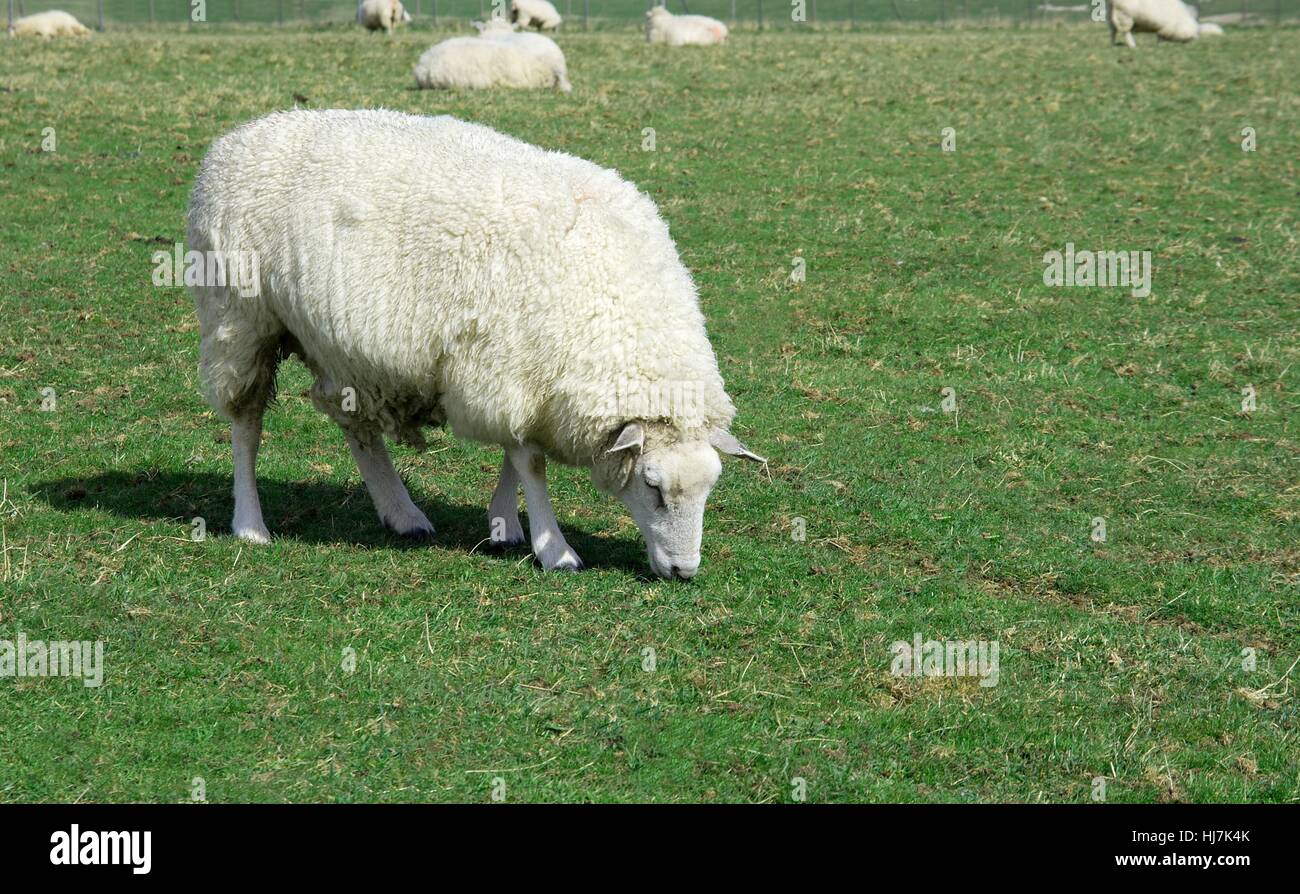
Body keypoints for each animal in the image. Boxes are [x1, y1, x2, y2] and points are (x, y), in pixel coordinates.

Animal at [187, 109, 762, 578]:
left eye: (710, 489)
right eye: (652, 487)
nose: (684, 571)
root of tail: (237, 137)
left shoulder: (526, 381)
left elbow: (514, 454)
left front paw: (505, 524)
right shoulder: (505, 372)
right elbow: (529, 462)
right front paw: (554, 549)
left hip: (345, 353)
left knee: (354, 424)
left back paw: (403, 514)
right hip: (239, 318)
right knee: (246, 424)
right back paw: (251, 524)